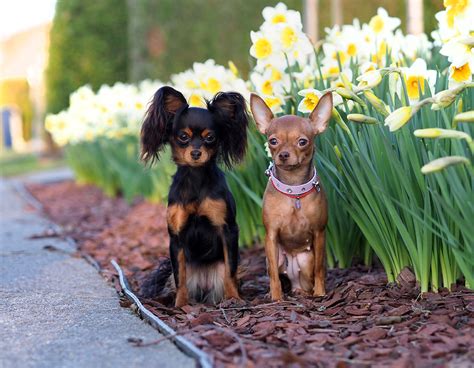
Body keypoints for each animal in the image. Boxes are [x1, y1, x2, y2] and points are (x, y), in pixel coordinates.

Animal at [140, 86, 248, 308]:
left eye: (210, 137)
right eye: (183, 136)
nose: (196, 153)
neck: (196, 177)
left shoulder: (228, 230)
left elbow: (230, 270)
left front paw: (234, 299)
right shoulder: (176, 237)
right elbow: (179, 275)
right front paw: (180, 305)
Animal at [250, 92, 332, 302]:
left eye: (302, 142)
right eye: (273, 141)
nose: (284, 155)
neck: (293, 189)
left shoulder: (319, 233)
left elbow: (320, 269)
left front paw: (321, 293)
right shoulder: (270, 236)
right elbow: (272, 274)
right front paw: (276, 297)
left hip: (305, 259)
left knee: (306, 279)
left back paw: (303, 292)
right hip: (278, 257)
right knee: (277, 272)